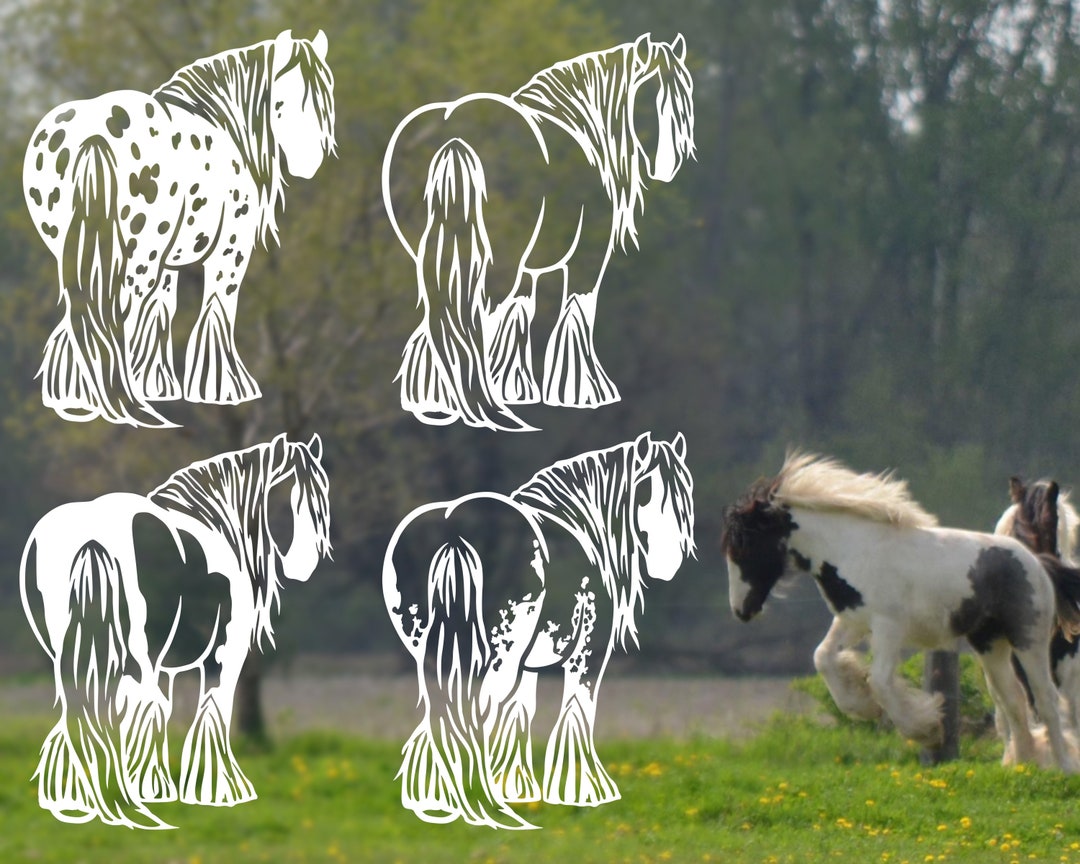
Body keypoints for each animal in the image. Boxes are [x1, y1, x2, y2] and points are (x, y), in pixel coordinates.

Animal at [19, 433, 332, 829]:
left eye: (323, 489)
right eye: (295, 494)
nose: (305, 563)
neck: (218, 526)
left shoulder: (171, 666)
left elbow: (165, 713)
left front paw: (159, 786)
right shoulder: (221, 656)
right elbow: (212, 708)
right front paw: (223, 790)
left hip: (70, 654)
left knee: (76, 713)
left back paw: (73, 798)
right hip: (138, 659)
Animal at [23, 30, 336, 427]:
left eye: (325, 91)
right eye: (280, 102)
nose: (309, 162)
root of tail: (92, 137)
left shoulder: (168, 262)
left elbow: (162, 310)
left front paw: (157, 384)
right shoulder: (229, 250)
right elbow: (218, 306)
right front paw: (226, 388)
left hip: (78, 251)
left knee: (83, 312)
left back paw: (81, 398)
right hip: (137, 258)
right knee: (118, 316)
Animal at [382, 33, 695, 431]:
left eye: (686, 91)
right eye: (651, 95)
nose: (670, 164)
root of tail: (453, 137)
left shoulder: (529, 273)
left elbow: (519, 318)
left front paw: (516, 388)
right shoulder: (583, 264)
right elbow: (576, 312)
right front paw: (586, 393)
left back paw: (432, 401)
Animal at [383, 432, 695, 828]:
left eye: (684, 489)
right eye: (644, 493)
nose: (669, 563)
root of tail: (453, 531)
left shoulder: (529, 664)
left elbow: (521, 712)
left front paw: (517, 787)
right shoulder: (585, 656)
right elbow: (577, 709)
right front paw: (586, 790)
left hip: (429, 651)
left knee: (439, 713)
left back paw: (440, 798)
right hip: (497, 658)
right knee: (475, 712)